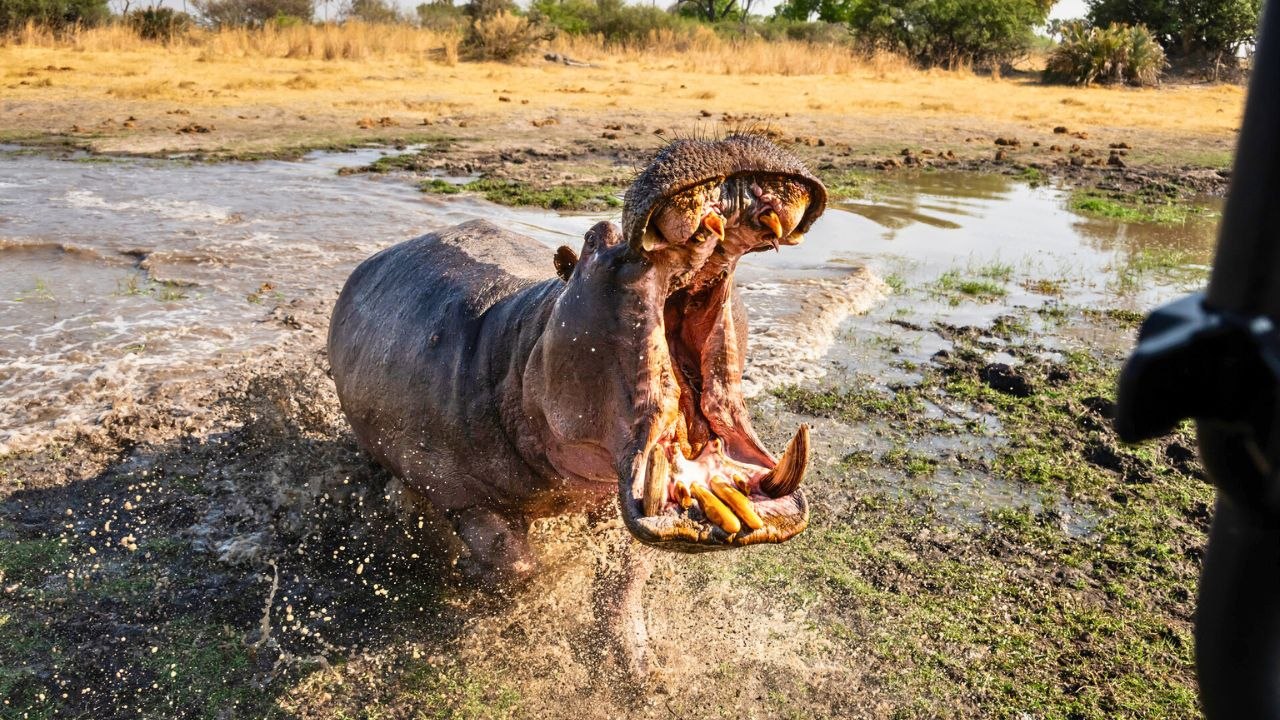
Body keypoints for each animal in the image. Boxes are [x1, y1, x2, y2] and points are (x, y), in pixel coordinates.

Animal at [327, 134, 827, 587]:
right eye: (593, 237)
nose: (720, 143)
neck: (525, 345)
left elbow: (623, 585)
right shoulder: (462, 499)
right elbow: (518, 567)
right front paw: (475, 575)